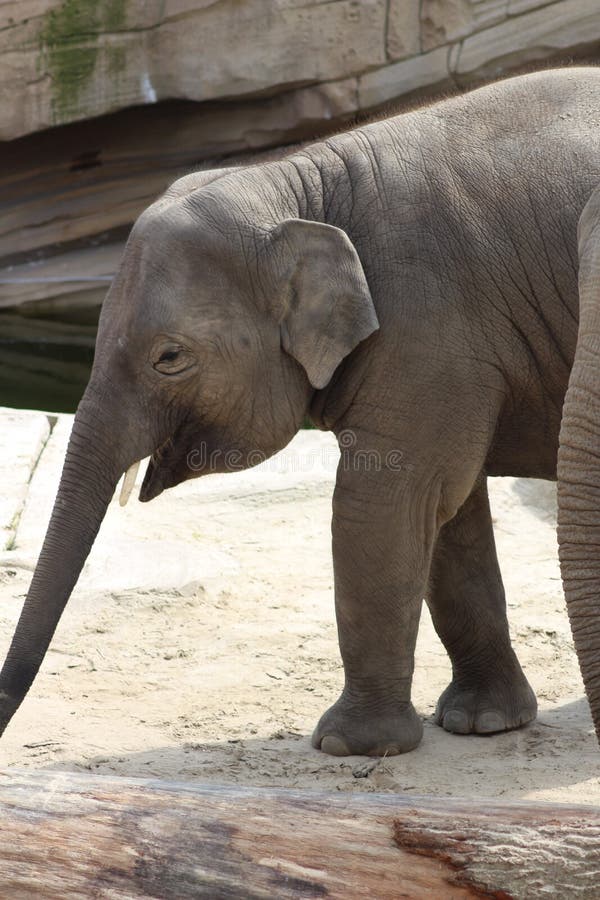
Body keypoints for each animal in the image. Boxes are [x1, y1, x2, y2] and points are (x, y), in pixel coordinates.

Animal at [1, 66, 600, 758]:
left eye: (169, 357)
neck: (302, 182)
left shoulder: (429, 323)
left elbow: (384, 502)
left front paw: (349, 746)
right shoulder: (452, 351)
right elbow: (449, 513)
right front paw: (483, 723)